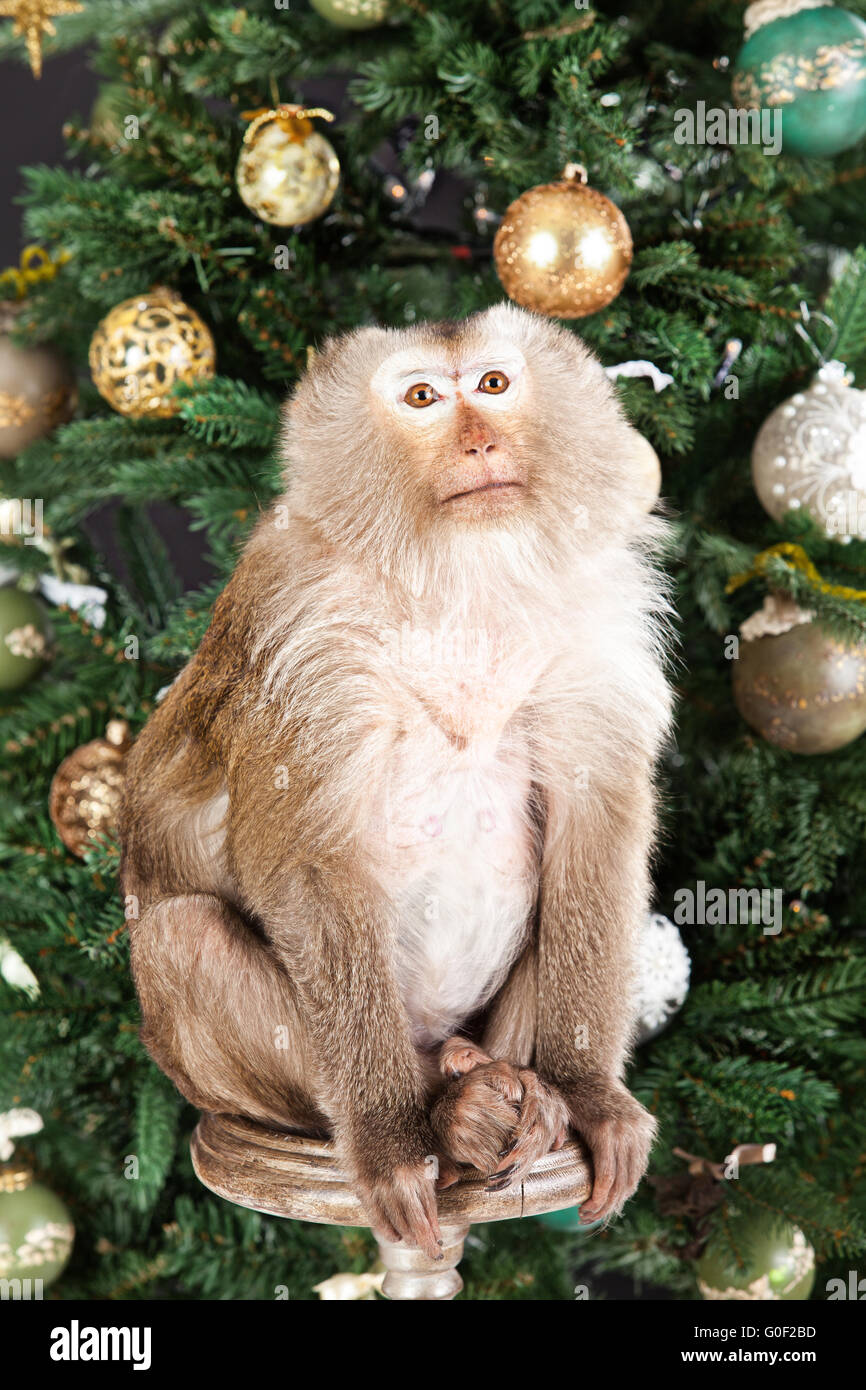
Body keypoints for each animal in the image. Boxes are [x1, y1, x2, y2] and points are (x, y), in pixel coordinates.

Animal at [119, 302, 674, 1263]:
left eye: (493, 383)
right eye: (421, 398)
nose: (481, 443)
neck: (460, 587)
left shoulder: (593, 625)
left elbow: (594, 830)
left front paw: (588, 1093)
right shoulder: (302, 630)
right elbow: (306, 864)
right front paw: (388, 1139)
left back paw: (512, 1088)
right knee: (183, 940)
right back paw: (448, 1109)